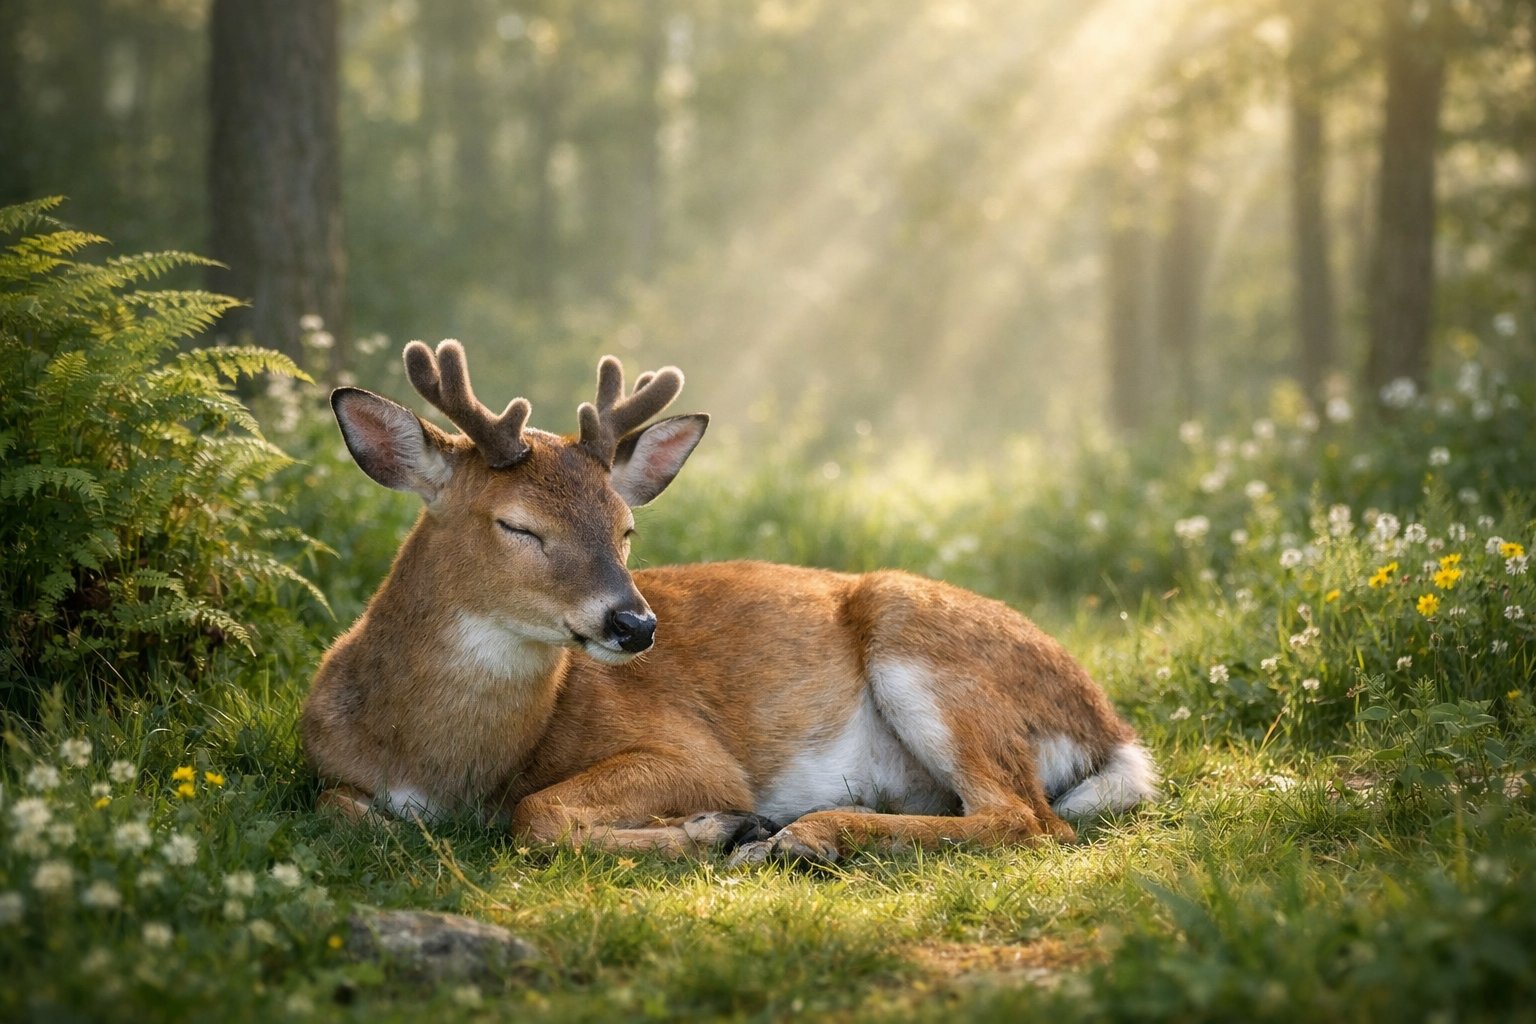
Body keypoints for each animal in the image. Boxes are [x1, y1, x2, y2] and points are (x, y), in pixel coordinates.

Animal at [300, 340, 1157, 864]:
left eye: (626, 527)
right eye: (517, 525)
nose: (635, 624)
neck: (443, 761)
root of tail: (1111, 729)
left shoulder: (692, 750)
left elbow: (534, 814)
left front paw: (719, 825)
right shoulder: (327, 769)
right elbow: (338, 810)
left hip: (930, 651)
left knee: (1028, 819)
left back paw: (804, 835)